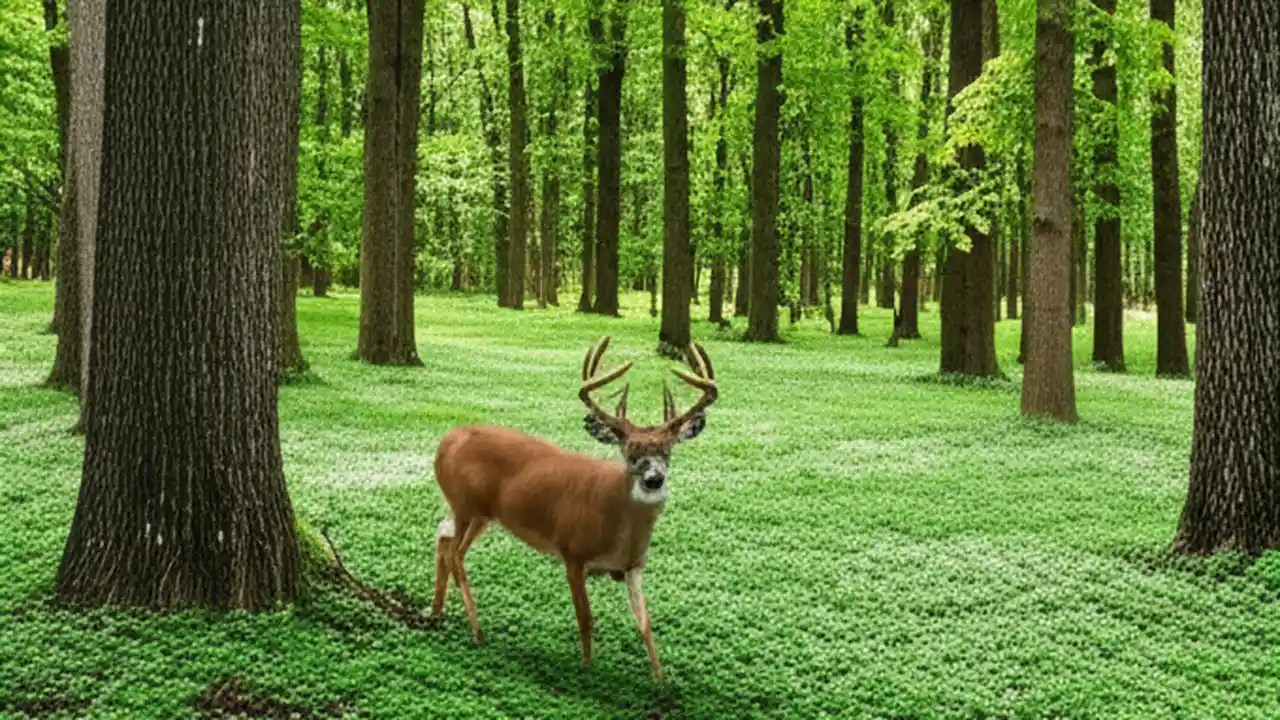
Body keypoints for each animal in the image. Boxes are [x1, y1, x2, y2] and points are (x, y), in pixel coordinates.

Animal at [429, 336, 718, 681]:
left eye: (668, 450)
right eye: (629, 451)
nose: (654, 479)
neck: (619, 533)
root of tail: (445, 441)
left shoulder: (635, 565)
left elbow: (645, 627)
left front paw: (661, 682)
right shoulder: (572, 552)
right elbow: (586, 618)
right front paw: (586, 669)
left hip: (476, 512)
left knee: (443, 539)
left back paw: (436, 614)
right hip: (466, 504)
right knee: (455, 553)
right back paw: (476, 632)